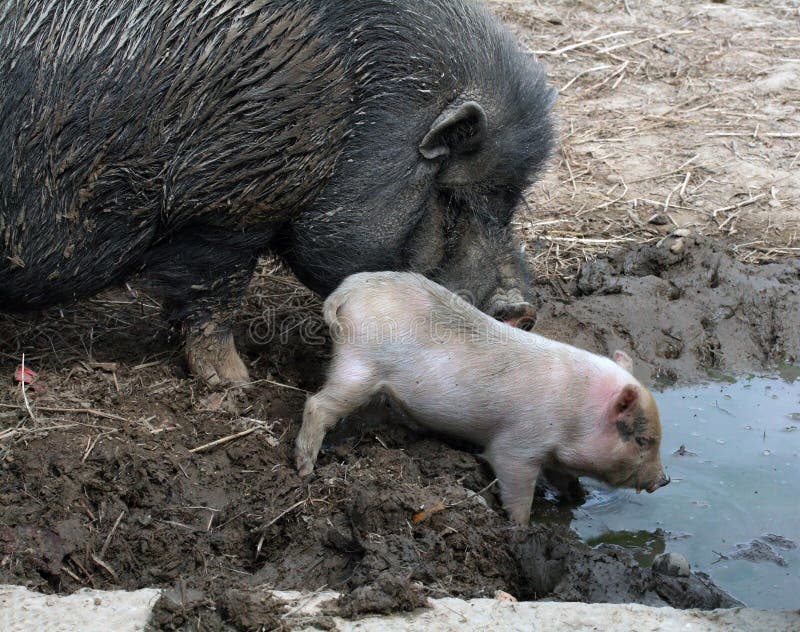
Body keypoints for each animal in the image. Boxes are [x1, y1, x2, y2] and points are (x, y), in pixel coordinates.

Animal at [0, 0, 554, 387]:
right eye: (454, 200)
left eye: (510, 203)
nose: (523, 311)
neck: (363, 117)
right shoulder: (229, 209)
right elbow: (214, 298)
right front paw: (235, 383)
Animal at [295, 272, 670, 525]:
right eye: (642, 439)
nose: (664, 480)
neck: (576, 411)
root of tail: (346, 290)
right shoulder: (518, 446)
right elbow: (516, 487)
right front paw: (521, 528)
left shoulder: (552, 455)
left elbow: (565, 479)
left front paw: (581, 499)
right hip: (359, 366)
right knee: (316, 404)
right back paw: (304, 469)